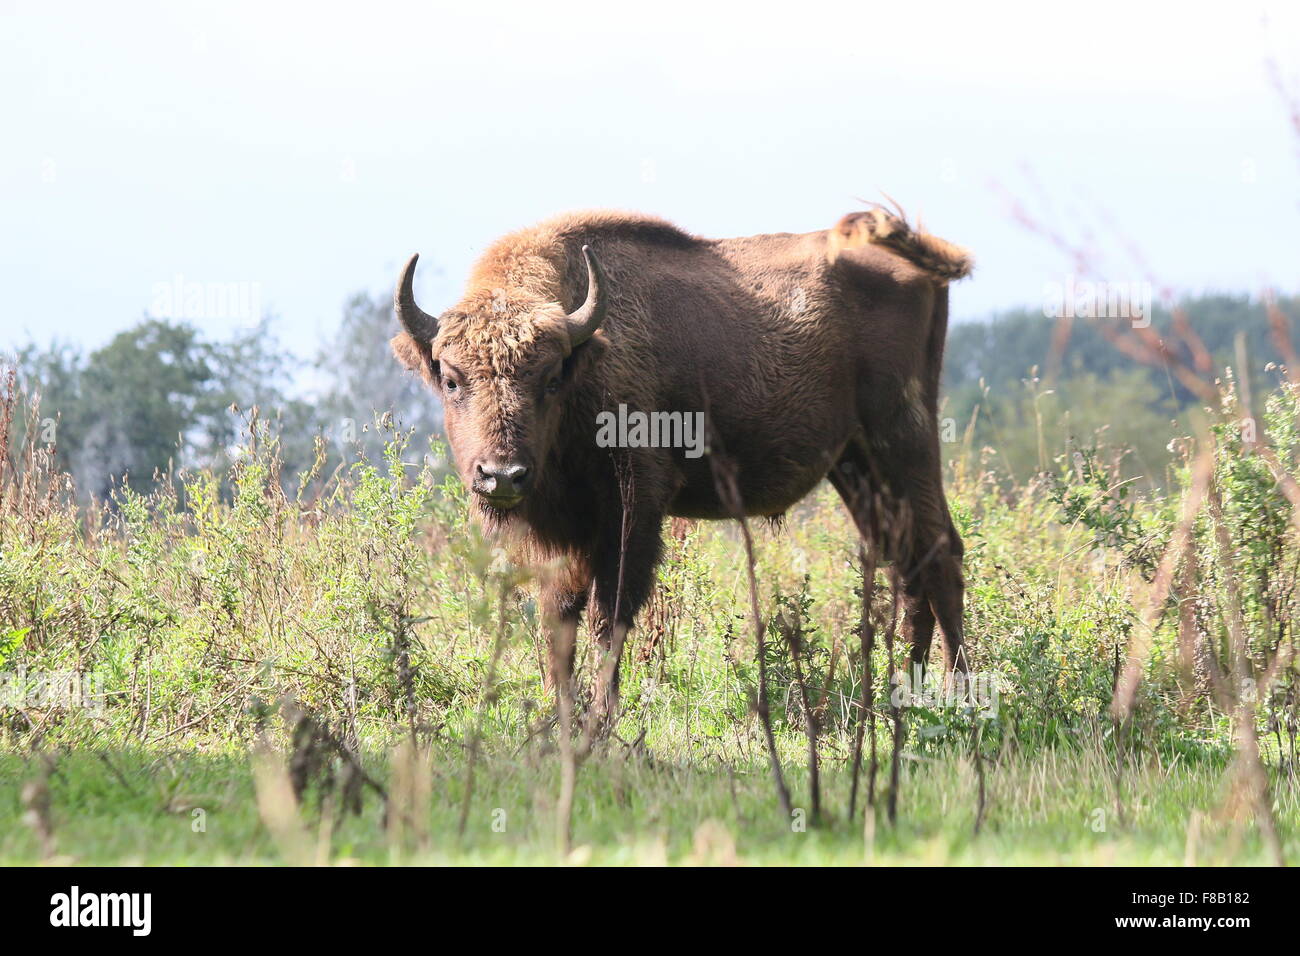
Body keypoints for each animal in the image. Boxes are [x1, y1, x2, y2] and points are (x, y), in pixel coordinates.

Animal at [391, 206, 972, 719]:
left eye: (551, 379)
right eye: (451, 379)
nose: (502, 475)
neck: (590, 355)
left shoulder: (632, 510)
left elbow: (610, 617)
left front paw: (602, 720)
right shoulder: (562, 534)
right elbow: (560, 623)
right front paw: (562, 717)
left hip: (903, 441)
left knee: (941, 553)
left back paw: (957, 697)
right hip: (856, 466)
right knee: (905, 562)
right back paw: (897, 692)